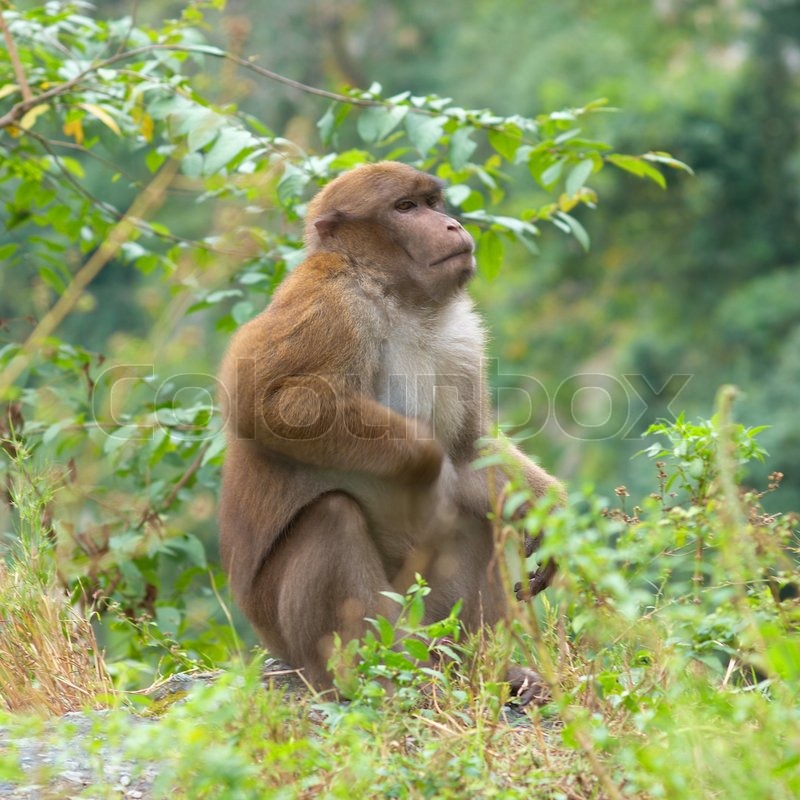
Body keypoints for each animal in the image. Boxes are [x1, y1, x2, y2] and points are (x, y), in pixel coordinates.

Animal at [217, 161, 562, 701]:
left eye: (433, 203)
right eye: (406, 208)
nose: (451, 225)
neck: (398, 298)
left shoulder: (462, 339)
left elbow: (472, 451)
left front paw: (549, 508)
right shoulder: (329, 304)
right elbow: (261, 400)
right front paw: (423, 462)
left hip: (428, 617)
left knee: (477, 514)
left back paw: (487, 672)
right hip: (304, 638)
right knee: (332, 517)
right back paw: (373, 676)